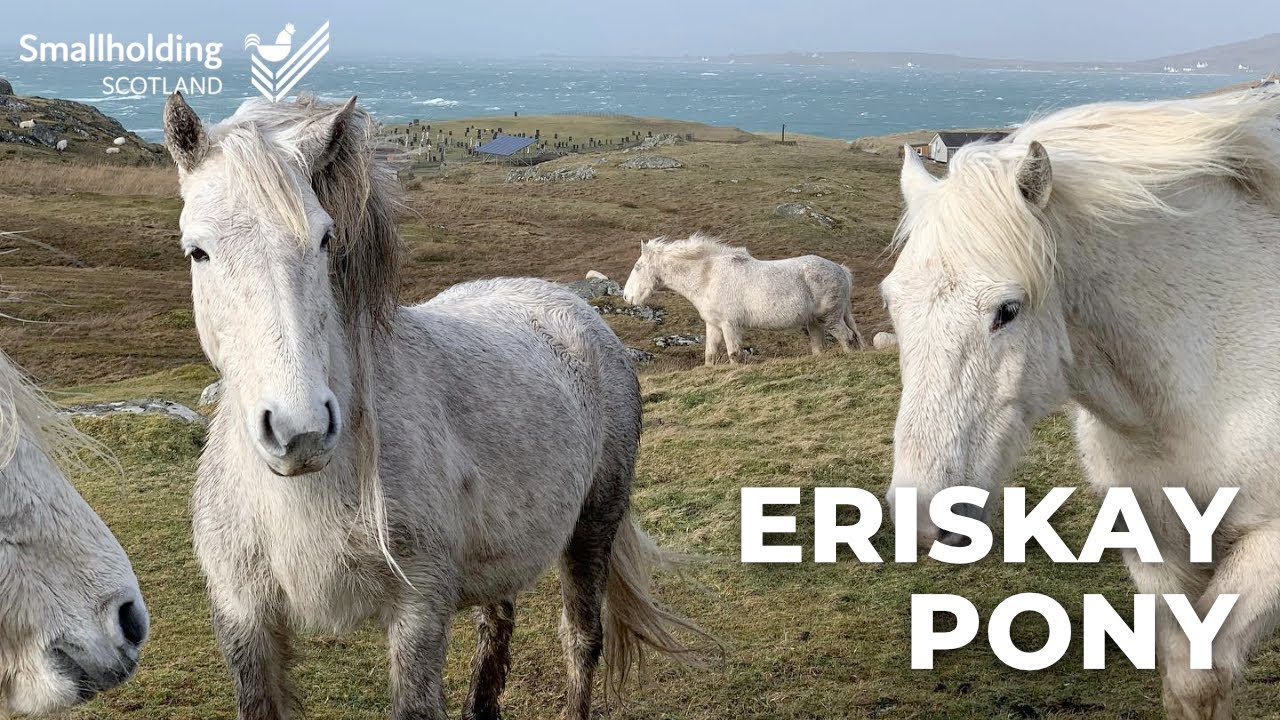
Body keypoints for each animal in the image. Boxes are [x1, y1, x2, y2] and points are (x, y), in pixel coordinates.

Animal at [162, 93, 710, 720]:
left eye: (325, 240)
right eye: (197, 251)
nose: (301, 432)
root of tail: (575, 309)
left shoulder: (418, 611)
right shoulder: (244, 621)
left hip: (594, 525)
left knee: (581, 640)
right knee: (496, 633)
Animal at [622, 234, 865, 365]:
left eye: (638, 267)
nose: (626, 297)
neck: (709, 276)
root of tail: (841, 270)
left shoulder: (730, 325)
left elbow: (734, 355)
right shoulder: (714, 325)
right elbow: (710, 355)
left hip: (831, 319)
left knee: (847, 338)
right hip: (814, 323)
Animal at [883, 88, 1280, 719]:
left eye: (1008, 310)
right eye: (892, 303)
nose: (921, 519)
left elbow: (1206, 675)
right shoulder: (1157, 545)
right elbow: (1184, 678)